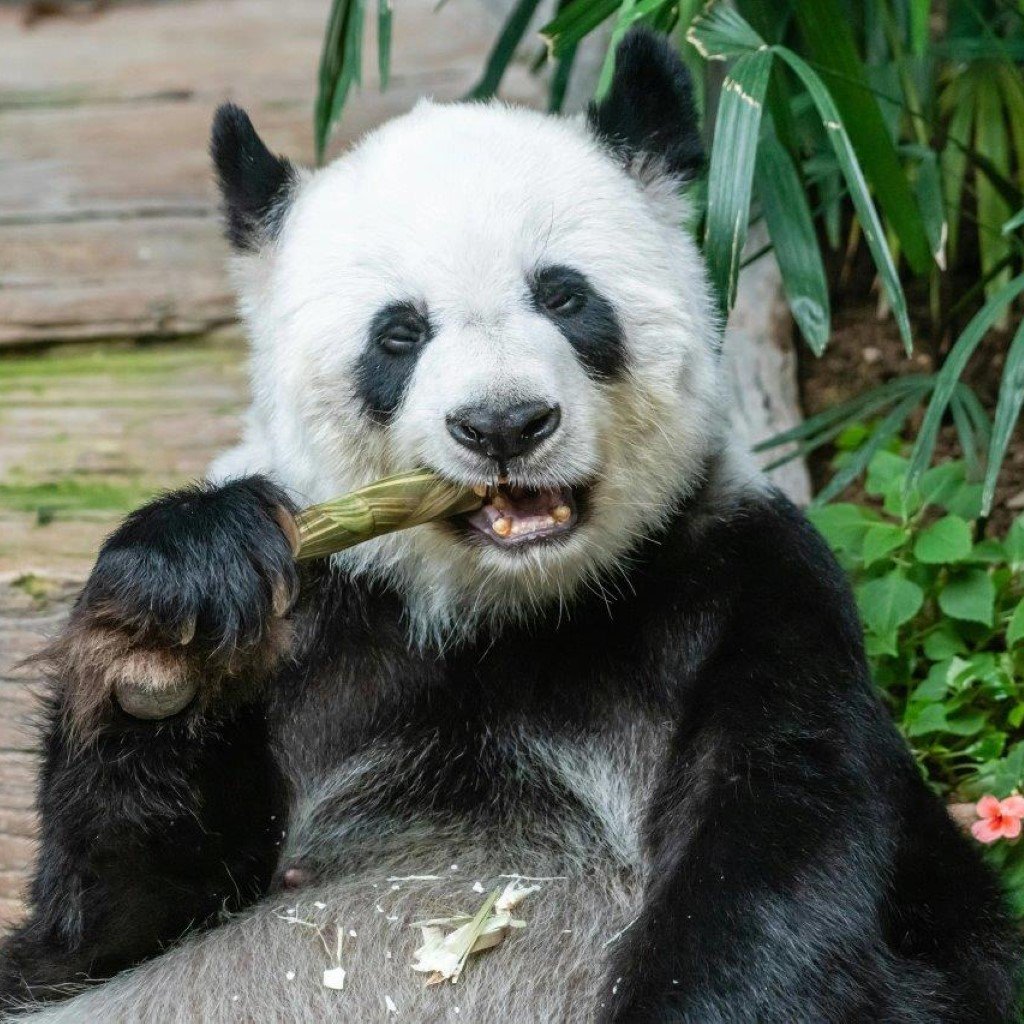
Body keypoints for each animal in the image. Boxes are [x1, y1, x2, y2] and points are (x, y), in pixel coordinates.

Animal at [0, 27, 1019, 1024]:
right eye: (399, 333)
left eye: (564, 296)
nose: (503, 424)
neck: (503, 609)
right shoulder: (325, 619)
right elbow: (112, 915)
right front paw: (170, 631)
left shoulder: (746, 579)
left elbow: (774, 861)